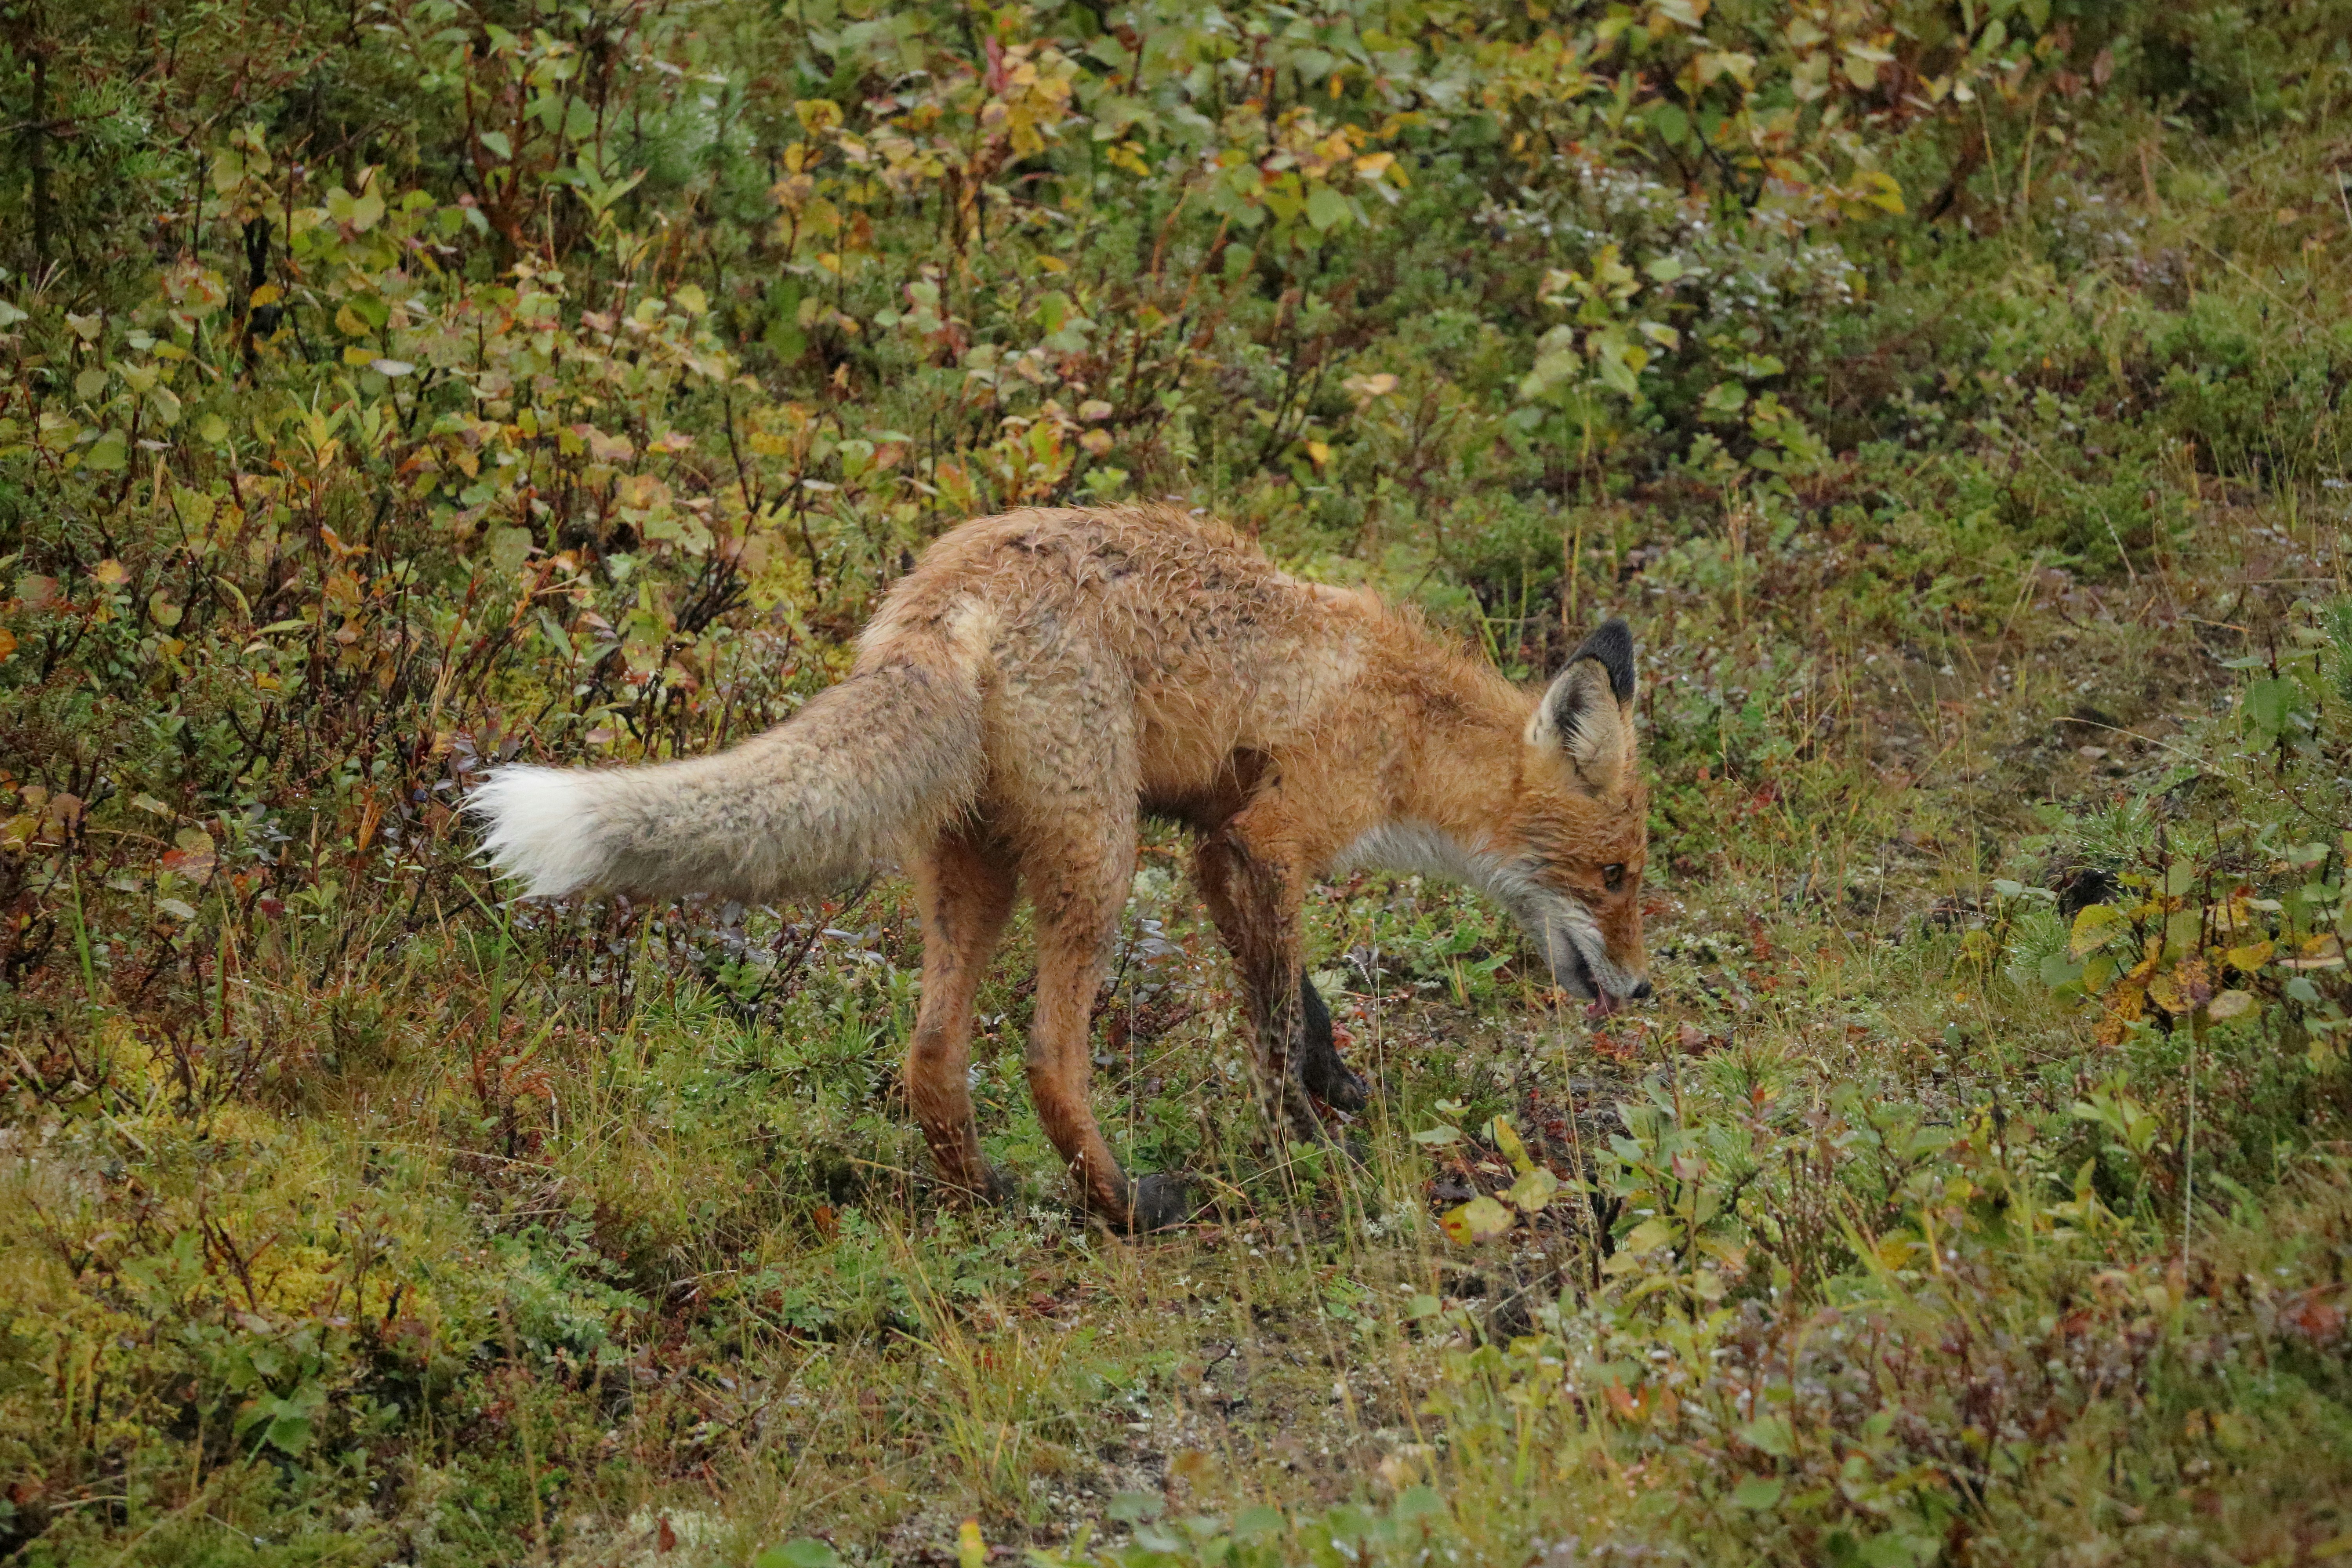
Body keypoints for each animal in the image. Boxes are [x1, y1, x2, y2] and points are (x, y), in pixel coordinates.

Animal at [472, 505, 1650, 1231]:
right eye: (1619, 876)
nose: (1639, 990)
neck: (1399, 720)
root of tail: (943, 594)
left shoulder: (1216, 853)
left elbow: (1295, 1002)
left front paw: (1334, 1084)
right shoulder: (1265, 844)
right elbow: (1273, 1022)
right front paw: (1310, 1144)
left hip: (973, 866)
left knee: (931, 1052)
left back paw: (981, 1195)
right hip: (1101, 859)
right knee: (1047, 1056)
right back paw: (1128, 1205)